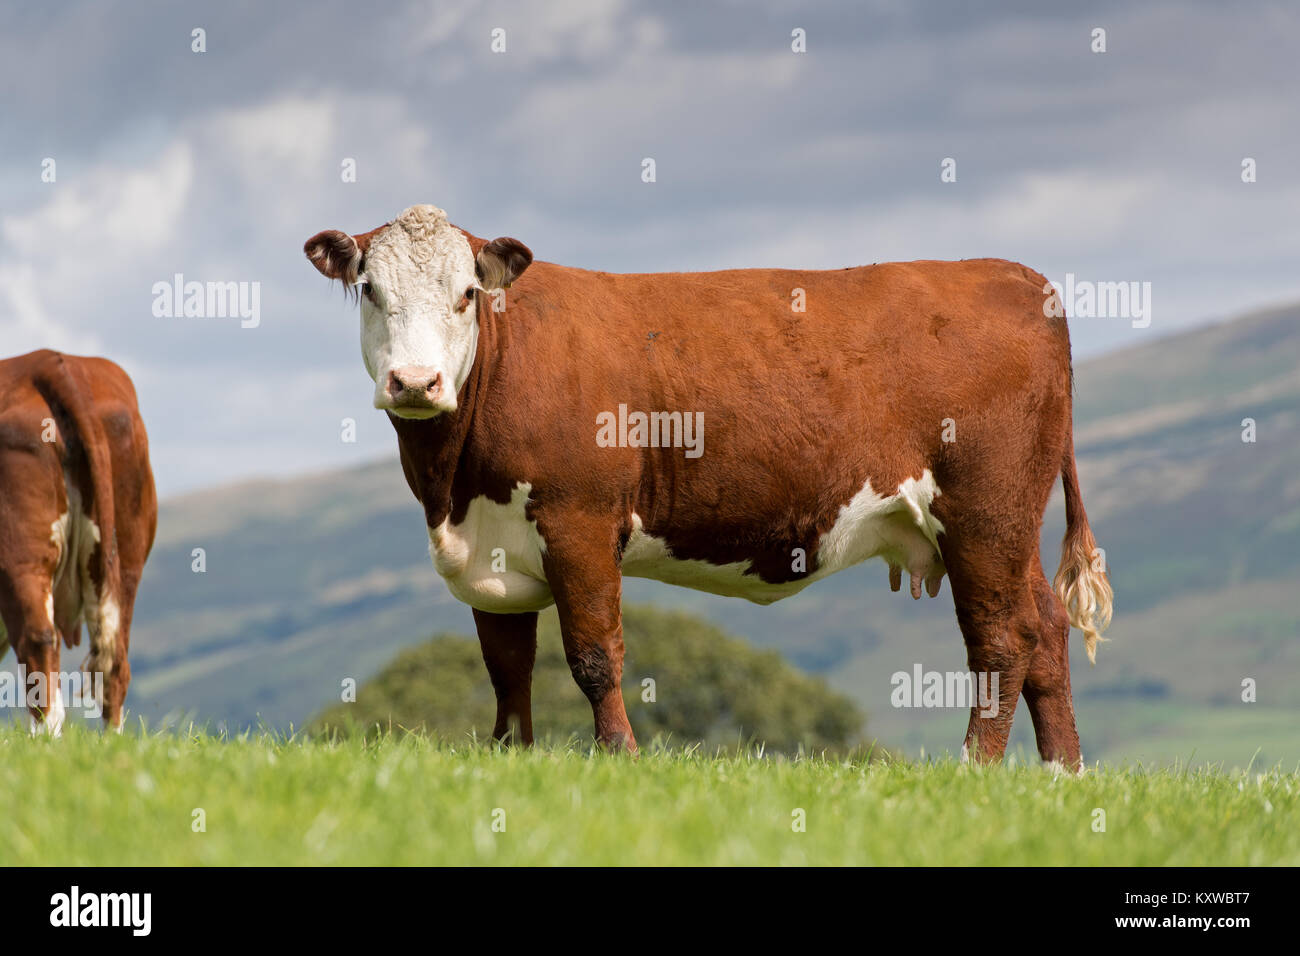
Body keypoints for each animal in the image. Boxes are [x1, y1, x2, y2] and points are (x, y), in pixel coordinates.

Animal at [304, 204, 1112, 769]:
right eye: (370, 289)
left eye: (468, 292)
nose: (415, 381)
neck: (454, 487)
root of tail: (1013, 275)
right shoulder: (492, 550)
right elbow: (507, 669)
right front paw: (512, 761)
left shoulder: (579, 521)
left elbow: (594, 654)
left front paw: (621, 759)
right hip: (1009, 527)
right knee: (1044, 627)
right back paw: (1061, 774)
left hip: (984, 513)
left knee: (1001, 637)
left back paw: (975, 768)